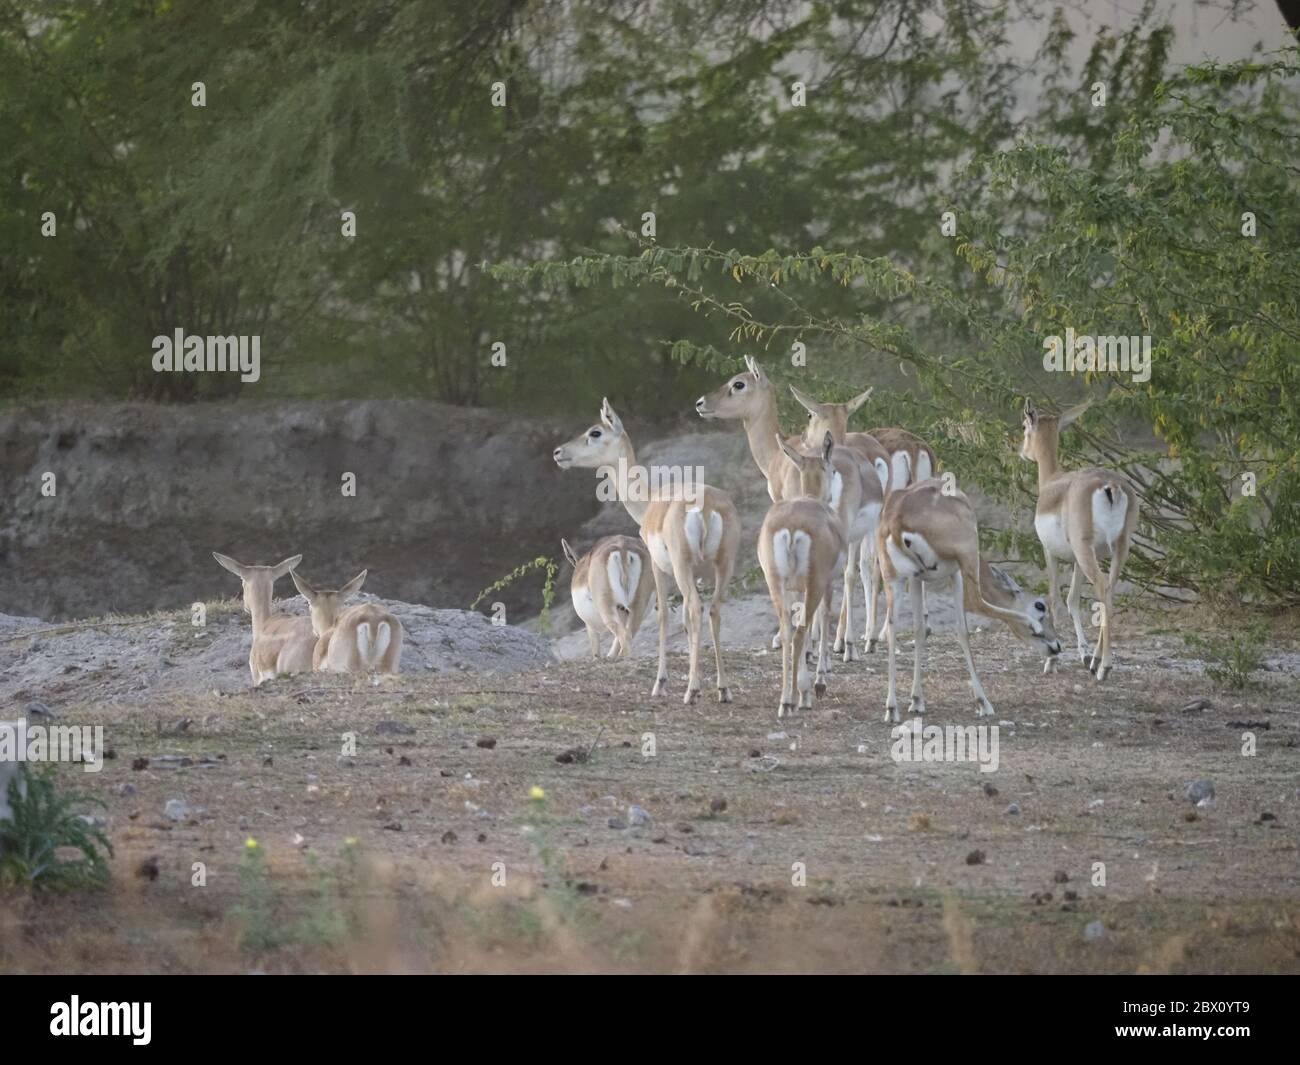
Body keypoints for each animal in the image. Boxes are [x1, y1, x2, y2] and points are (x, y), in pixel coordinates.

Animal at [554, 400, 741, 703]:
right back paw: (723, 689)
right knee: (713, 610)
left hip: (680, 567)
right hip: (724, 566)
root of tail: (707, 506)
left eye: (595, 432)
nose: (559, 452)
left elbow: (664, 615)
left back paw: (690, 691)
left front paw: (661, 683)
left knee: (690, 609)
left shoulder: (658, 567)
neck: (650, 501)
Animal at [758, 433, 848, 717]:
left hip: (775, 583)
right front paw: (818, 684)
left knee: (788, 631)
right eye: (833, 469)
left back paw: (786, 700)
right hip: (815, 583)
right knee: (799, 631)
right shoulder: (827, 583)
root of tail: (791, 527)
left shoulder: (795, 589)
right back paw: (796, 699)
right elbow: (822, 619)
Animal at [877, 481, 1062, 722]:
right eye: (1040, 605)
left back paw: (891, 709)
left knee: (891, 627)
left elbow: (919, 630)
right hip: (966, 559)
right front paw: (981, 702)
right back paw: (986, 701)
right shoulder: (956, 571)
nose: (1056, 645)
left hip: (893, 579)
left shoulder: (917, 579)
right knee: (976, 602)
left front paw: (916, 700)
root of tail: (897, 518)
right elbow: (962, 630)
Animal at [1021, 398, 1138, 681]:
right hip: (1117, 550)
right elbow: (1072, 599)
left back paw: (1104, 667)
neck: (1052, 482)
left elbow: (1053, 598)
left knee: (1102, 588)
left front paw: (1052, 661)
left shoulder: (1049, 552)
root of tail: (1111, 486)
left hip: (1087, 551)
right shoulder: (1075, 559)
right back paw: (1096, 661)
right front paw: (1084, 655)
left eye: (1023, 426)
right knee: (1109, 592)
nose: (1022, 451)